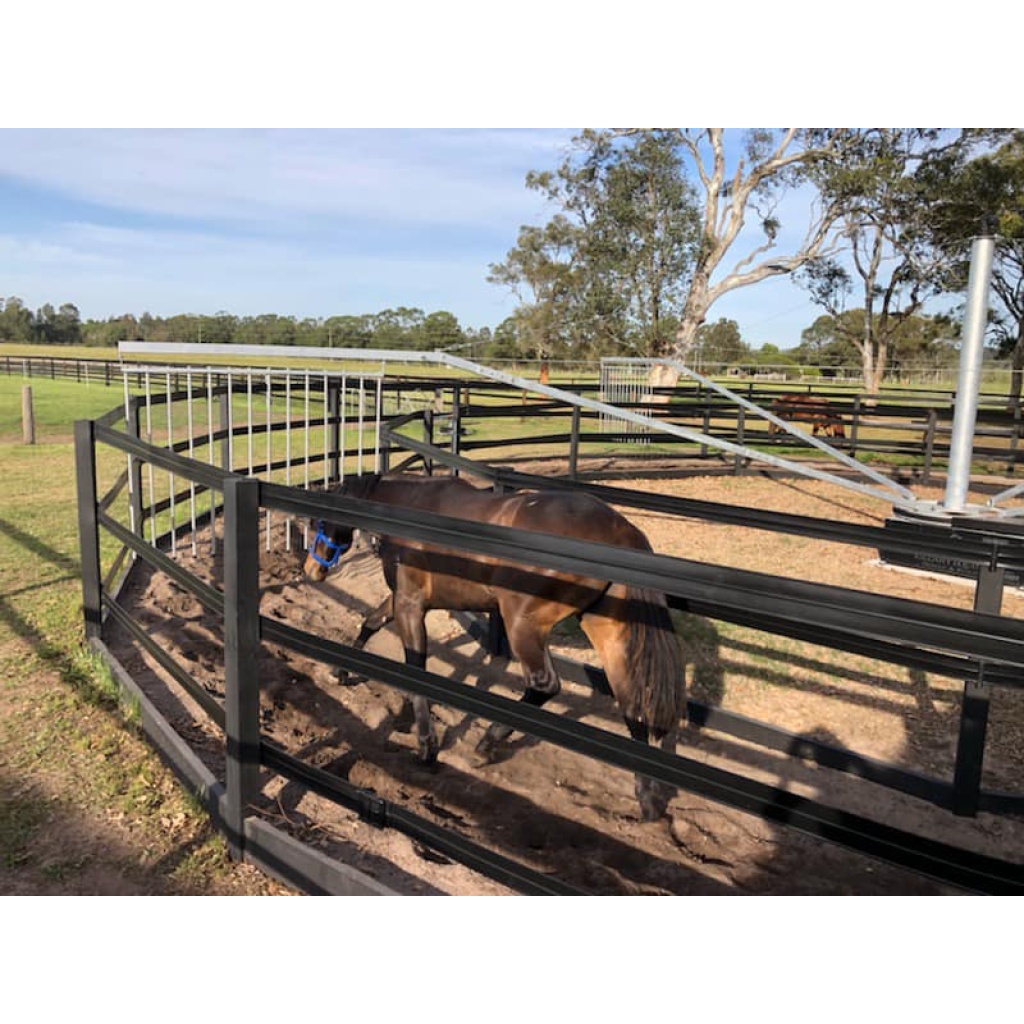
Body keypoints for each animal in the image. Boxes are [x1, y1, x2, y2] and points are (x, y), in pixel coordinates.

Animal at [302, 472, 686, 821]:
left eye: (319, 521)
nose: (310, 570)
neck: (407, 509)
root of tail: (623, 533)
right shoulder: (403, 599)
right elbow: (371, 621)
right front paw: (341, 670)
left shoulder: (410, 603)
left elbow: (415, 670)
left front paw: (426, 747)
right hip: (604, 628)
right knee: (632, 702)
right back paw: (648, 800)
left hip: (522, 624)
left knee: (544, 686)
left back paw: (486, 744)